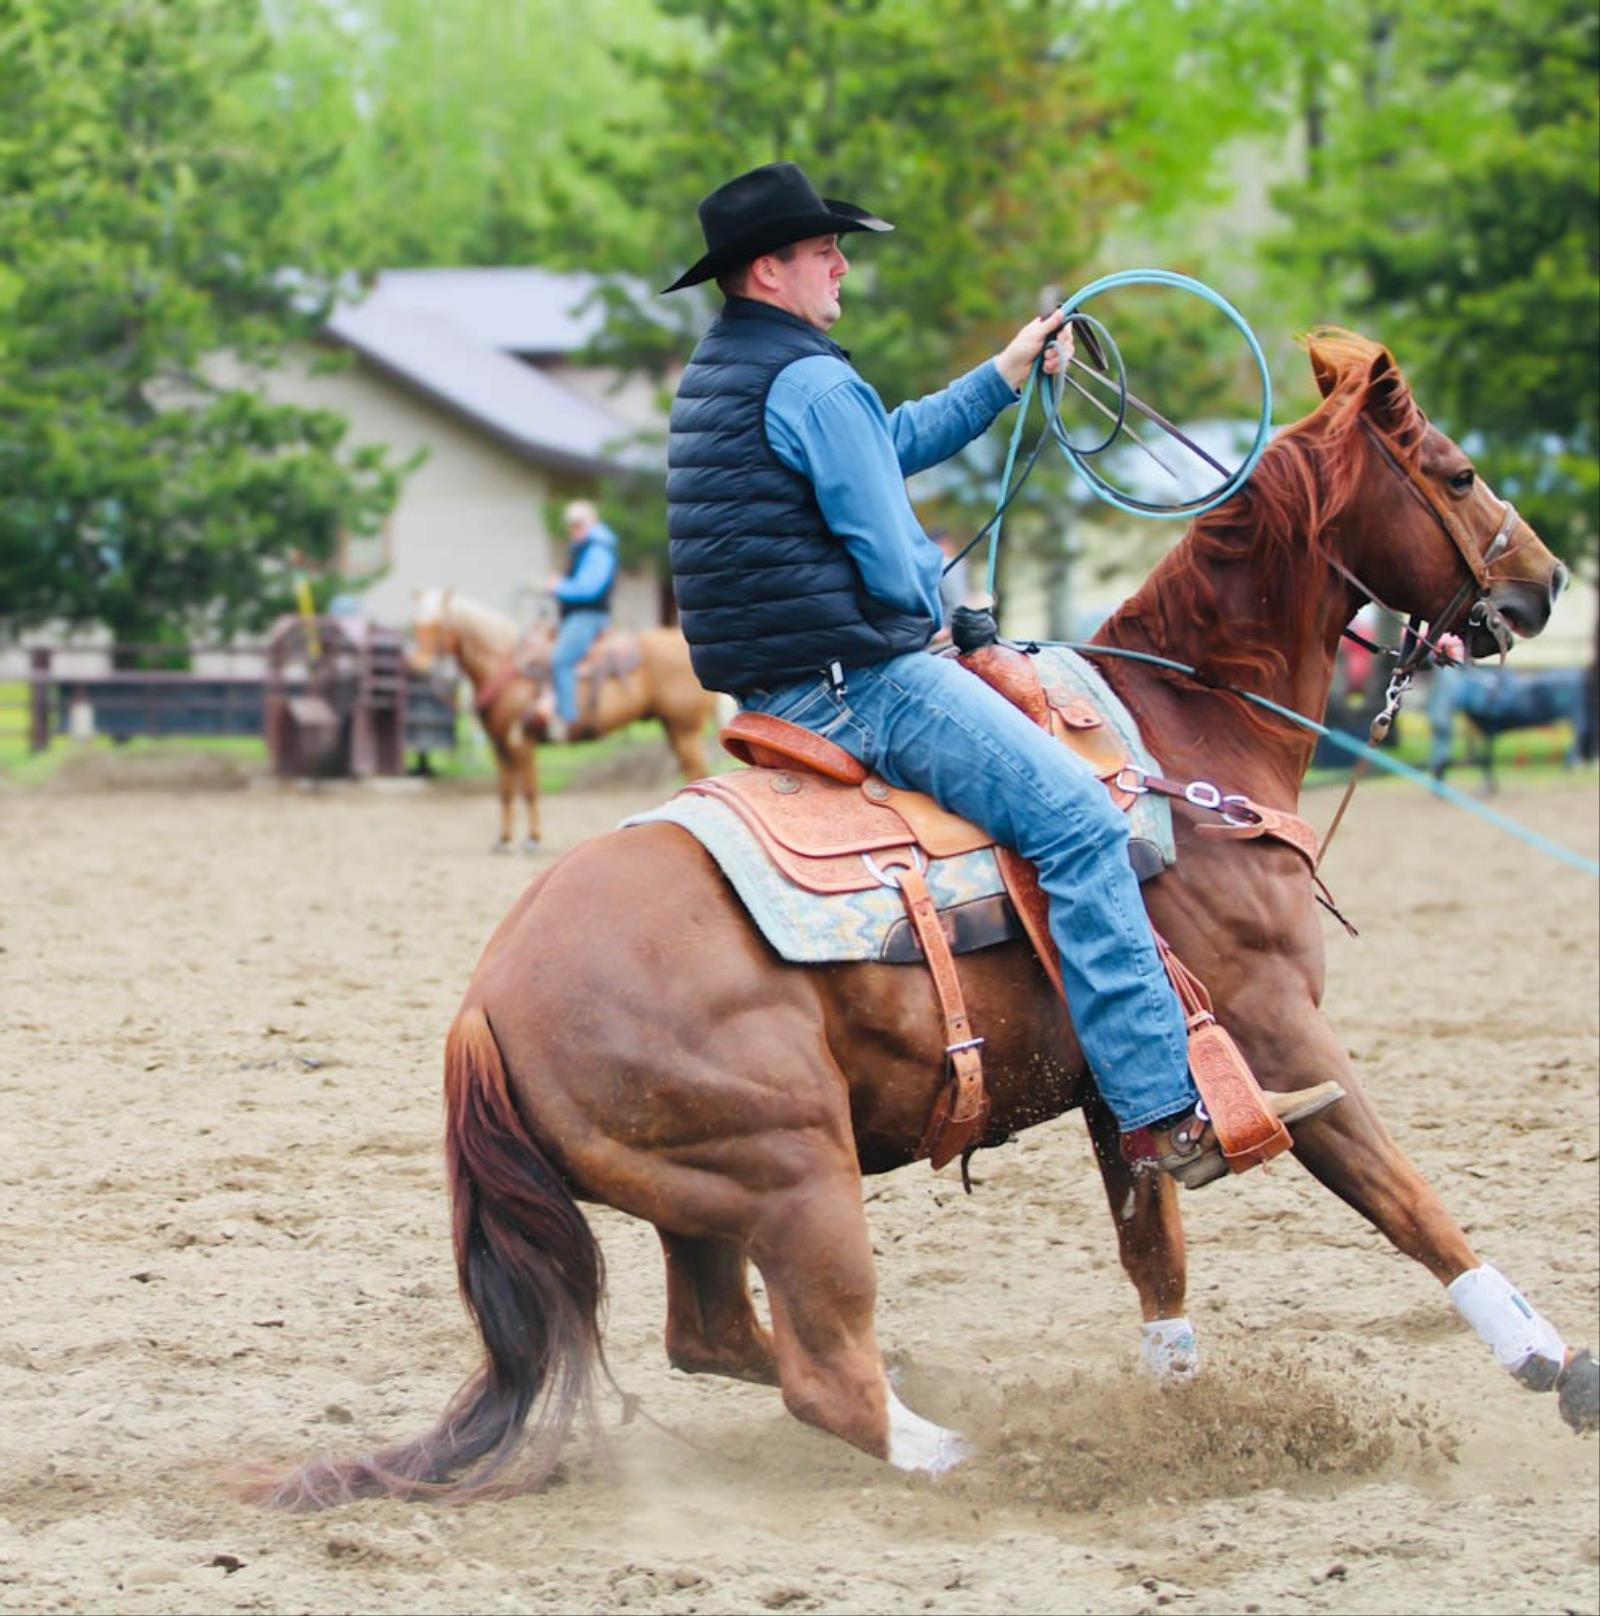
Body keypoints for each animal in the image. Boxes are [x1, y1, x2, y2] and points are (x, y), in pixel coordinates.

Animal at [408, 589, 717, 850]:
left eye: (438, 626)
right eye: (416, 625)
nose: (417, 665)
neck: (505, 668)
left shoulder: (521, 743)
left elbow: (530, 790)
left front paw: (533, 839)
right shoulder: (500, 746)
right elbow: (506, 792)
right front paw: (504, 840)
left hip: (685, 729)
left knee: (697, 770)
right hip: (673, 729)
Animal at [1428, 661, 1597, 790]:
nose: (1485, 705)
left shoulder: (1490, 729)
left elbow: (1485, 758)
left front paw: (1488, 786)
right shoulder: (1486, 731)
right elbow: (1484, 758)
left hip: (1575, 714)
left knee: (1580, 732)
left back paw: (1571, 764)